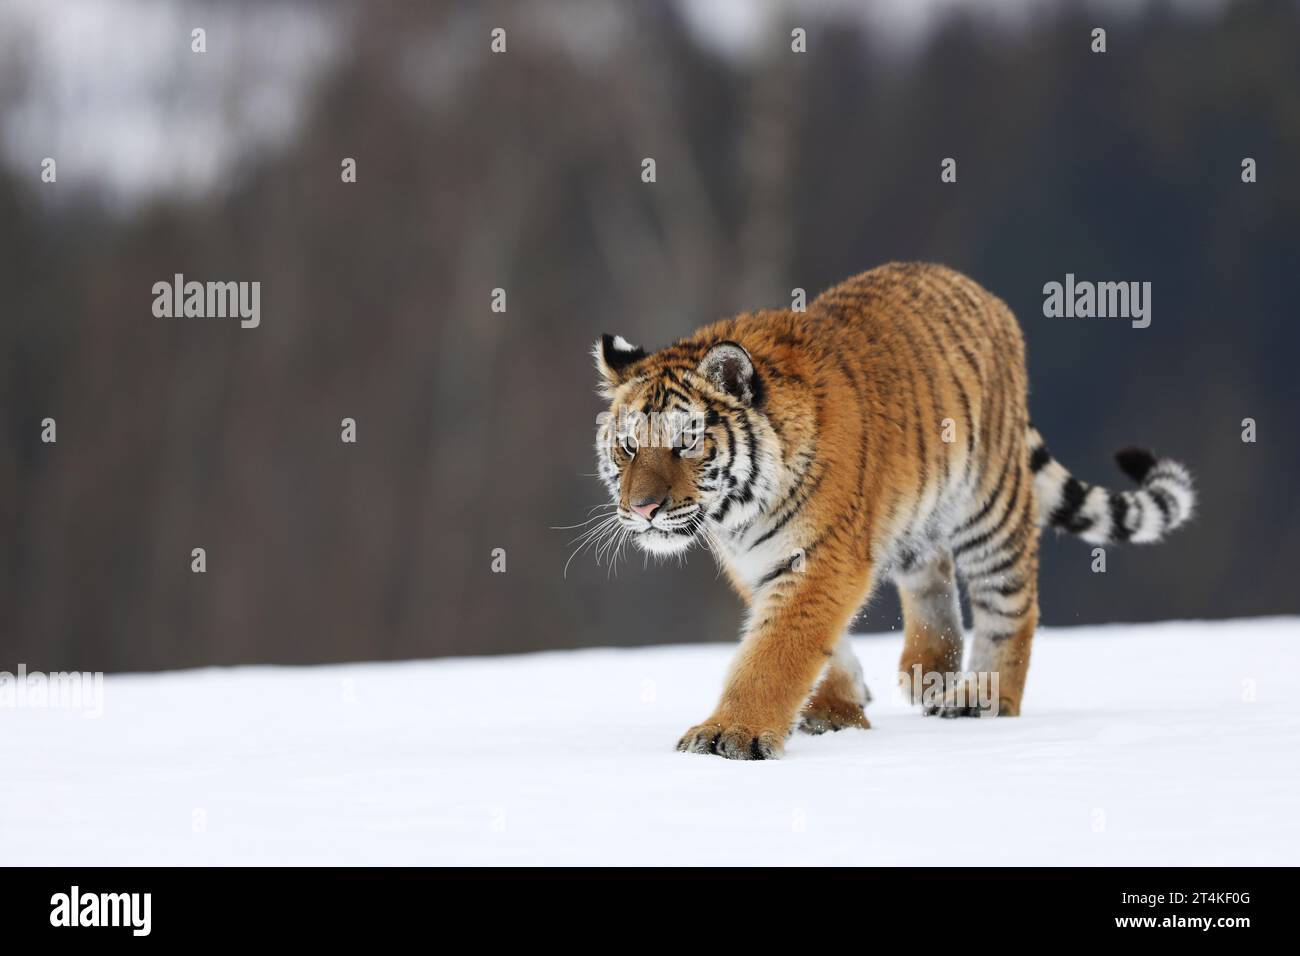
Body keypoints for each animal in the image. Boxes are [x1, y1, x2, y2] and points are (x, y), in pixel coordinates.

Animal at [591, 261, 1195, 760]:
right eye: (628, 446)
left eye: (686, 442)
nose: (642, 508)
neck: (738, 513)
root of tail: (976, 290)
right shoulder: (759, 563)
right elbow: (817, 644)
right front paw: (837, 710)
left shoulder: (821, 557)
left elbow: (776, 651)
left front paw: (729, 736)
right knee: (933, 570)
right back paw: (930, 670)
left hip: (990, 506)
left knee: (1011, 607)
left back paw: (983, 699)